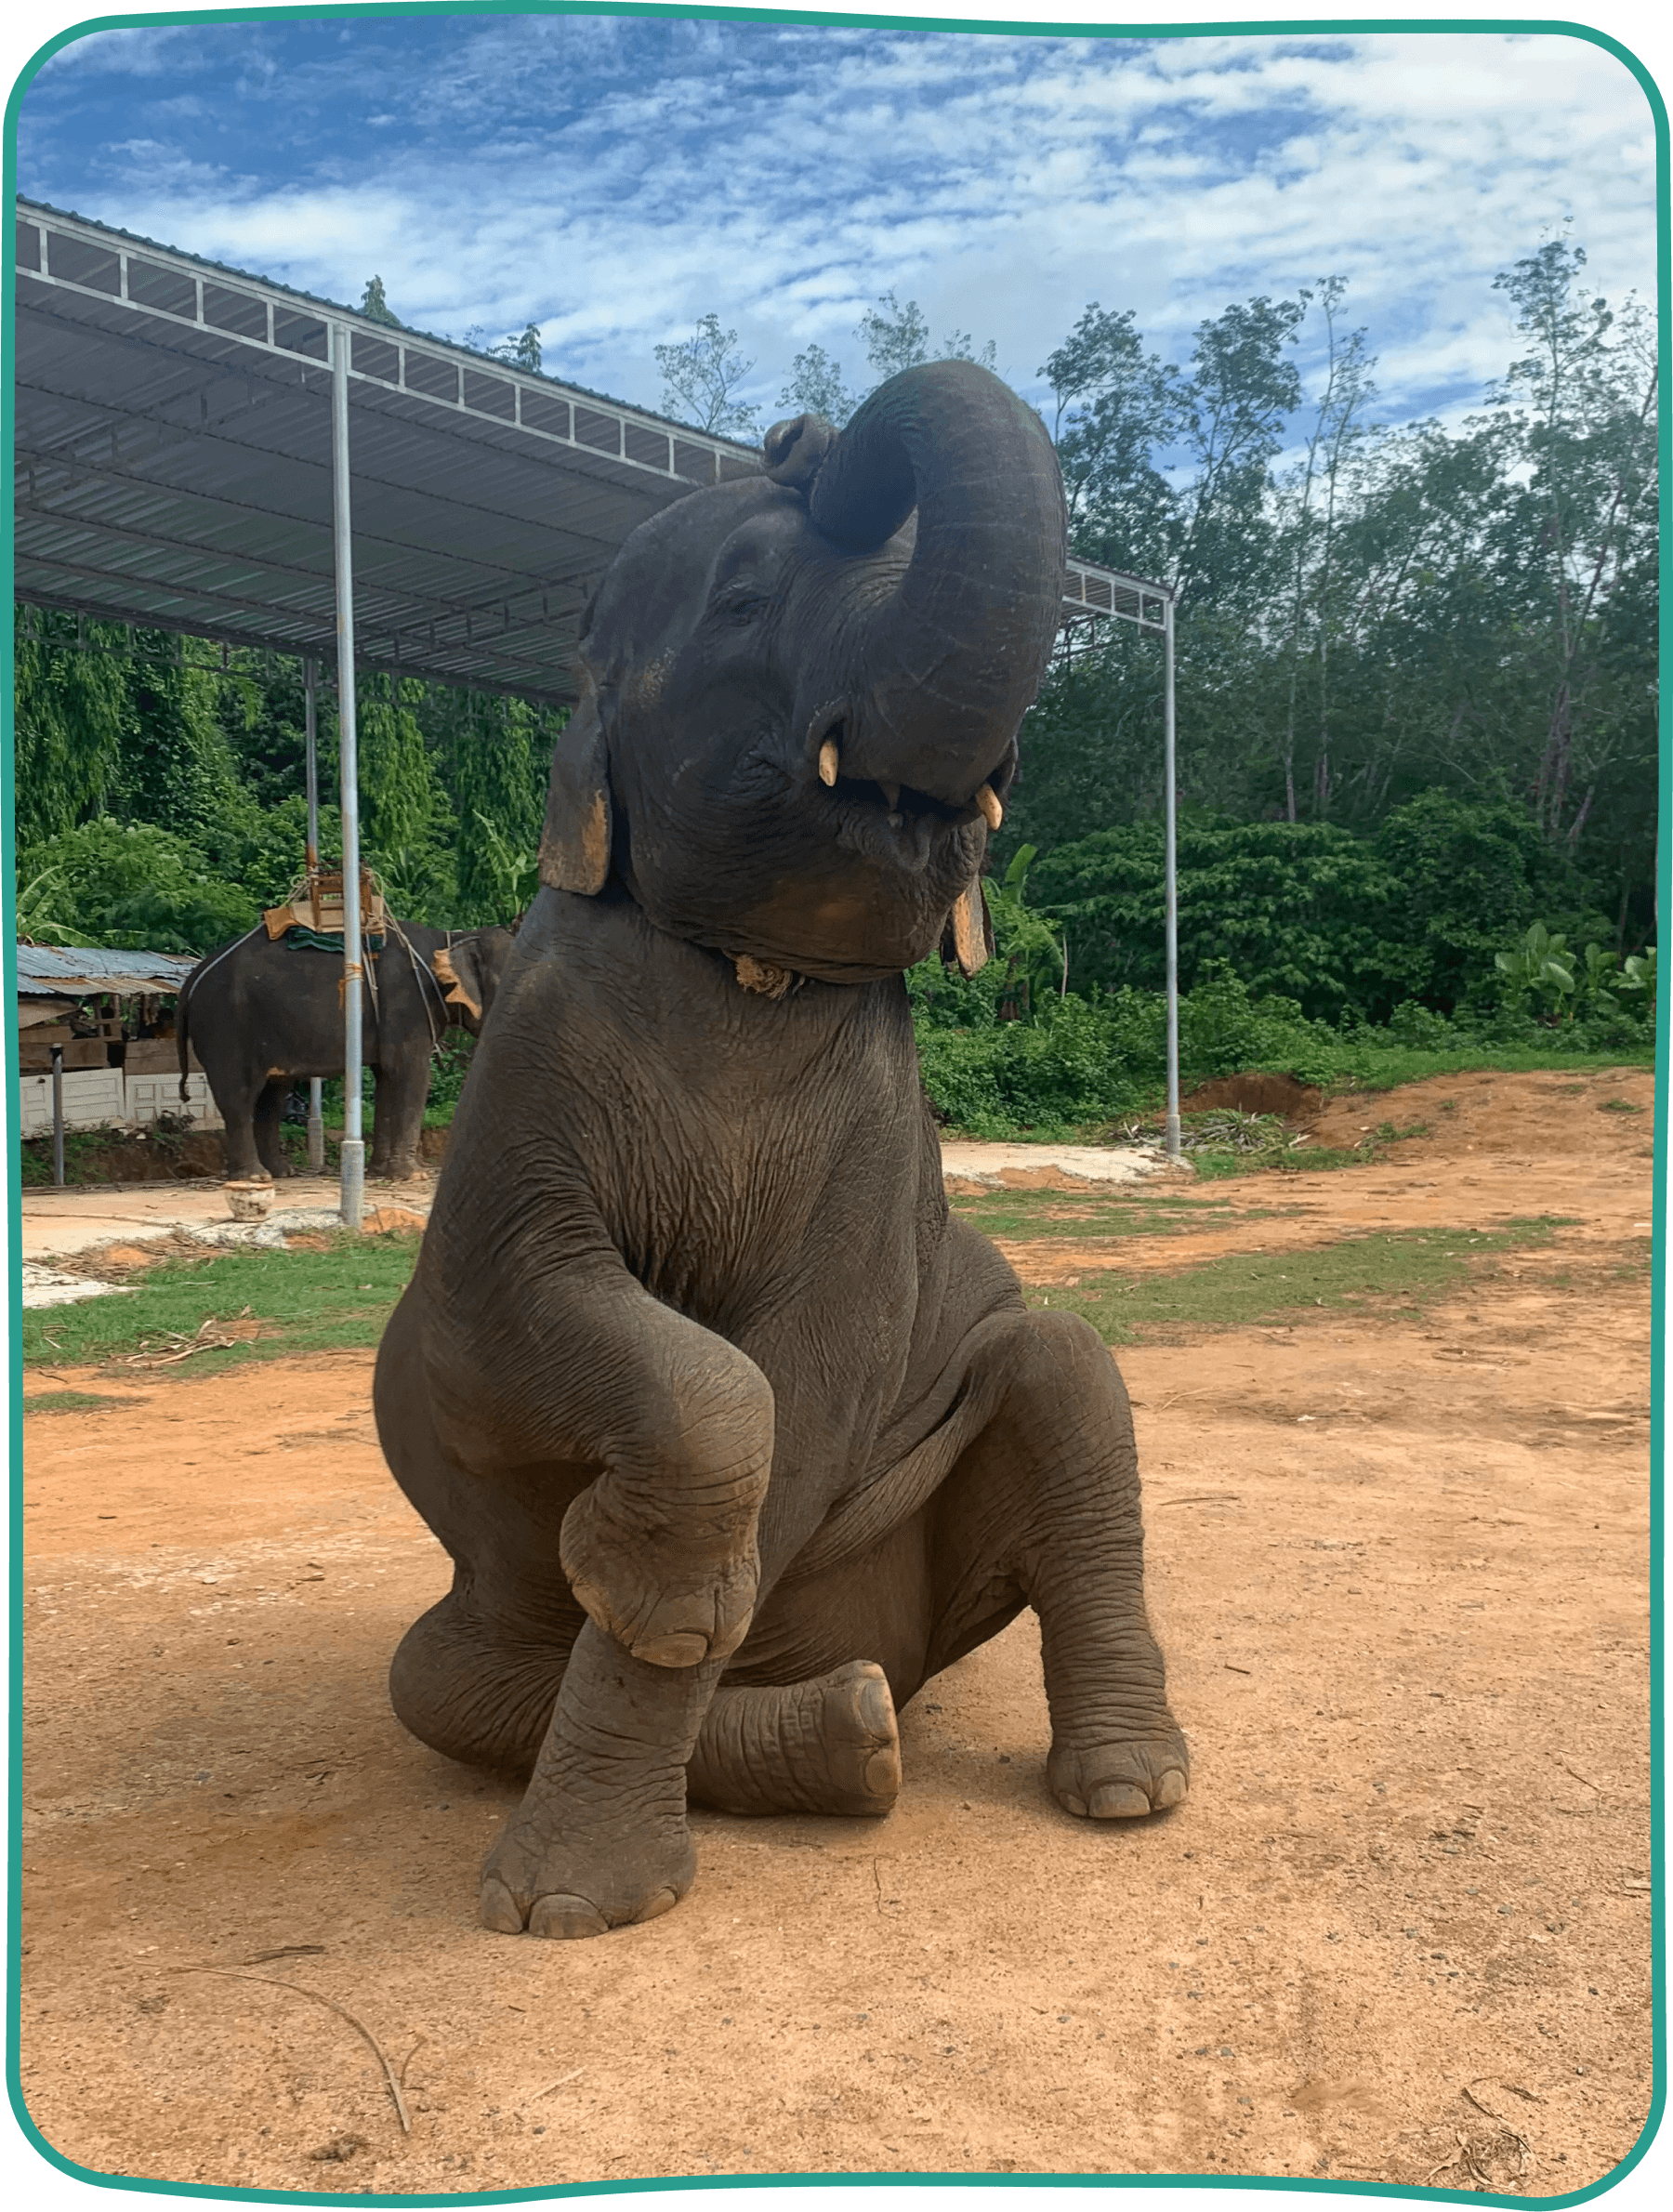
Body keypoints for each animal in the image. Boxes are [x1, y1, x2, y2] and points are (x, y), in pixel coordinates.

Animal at [176, 919, 516, 1182]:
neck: (451, 938)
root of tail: (192, 978)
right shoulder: (407, 1008)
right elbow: (411, 1075)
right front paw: (412, 1176)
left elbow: (386, 1078)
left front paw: (379, 1172)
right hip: (226, 1027)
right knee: (239, 1096)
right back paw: (254, 1177)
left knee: (272, 1096)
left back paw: (280, 1172)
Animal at [373, 358, 1188, 1942]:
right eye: (746, 598)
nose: (804, 436)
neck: (752, 971)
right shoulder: (522, 1075)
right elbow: (524, 1307)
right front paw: (573, 1906)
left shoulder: (884, 1144)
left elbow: (817, 1361)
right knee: (429, 1686)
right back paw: (849, 1739)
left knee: (1065, 1367)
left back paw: (1116, 1789)